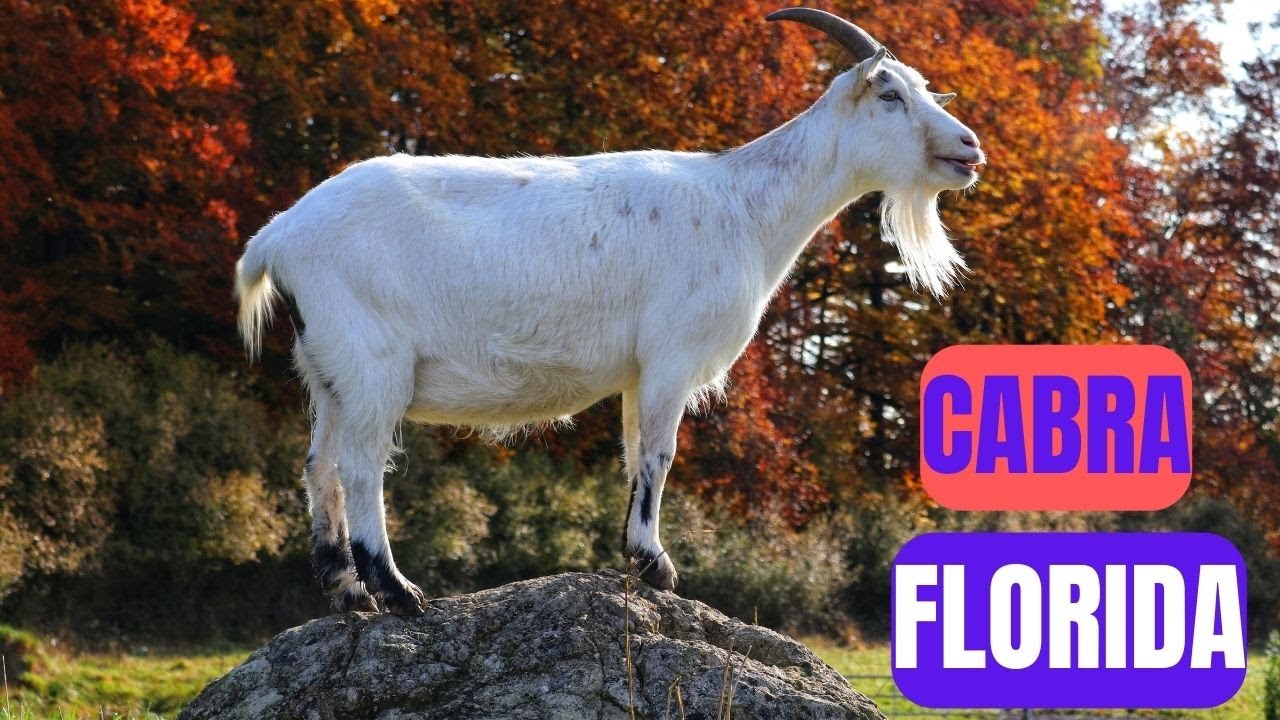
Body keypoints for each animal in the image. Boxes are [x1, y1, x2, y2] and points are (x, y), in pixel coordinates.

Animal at [235, 7, 985, 614]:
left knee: (319, 465)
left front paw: (638, 561)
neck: (743, 206)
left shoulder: (637, 372)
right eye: (890, 95)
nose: (969, 147)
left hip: (326, 369)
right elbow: (658, 454)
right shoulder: (671, 357)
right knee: (361, 467)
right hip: (373, 362)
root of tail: (281, 236)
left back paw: (346, 592)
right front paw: (656, 567)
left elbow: (632, 454)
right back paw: (398, 592)